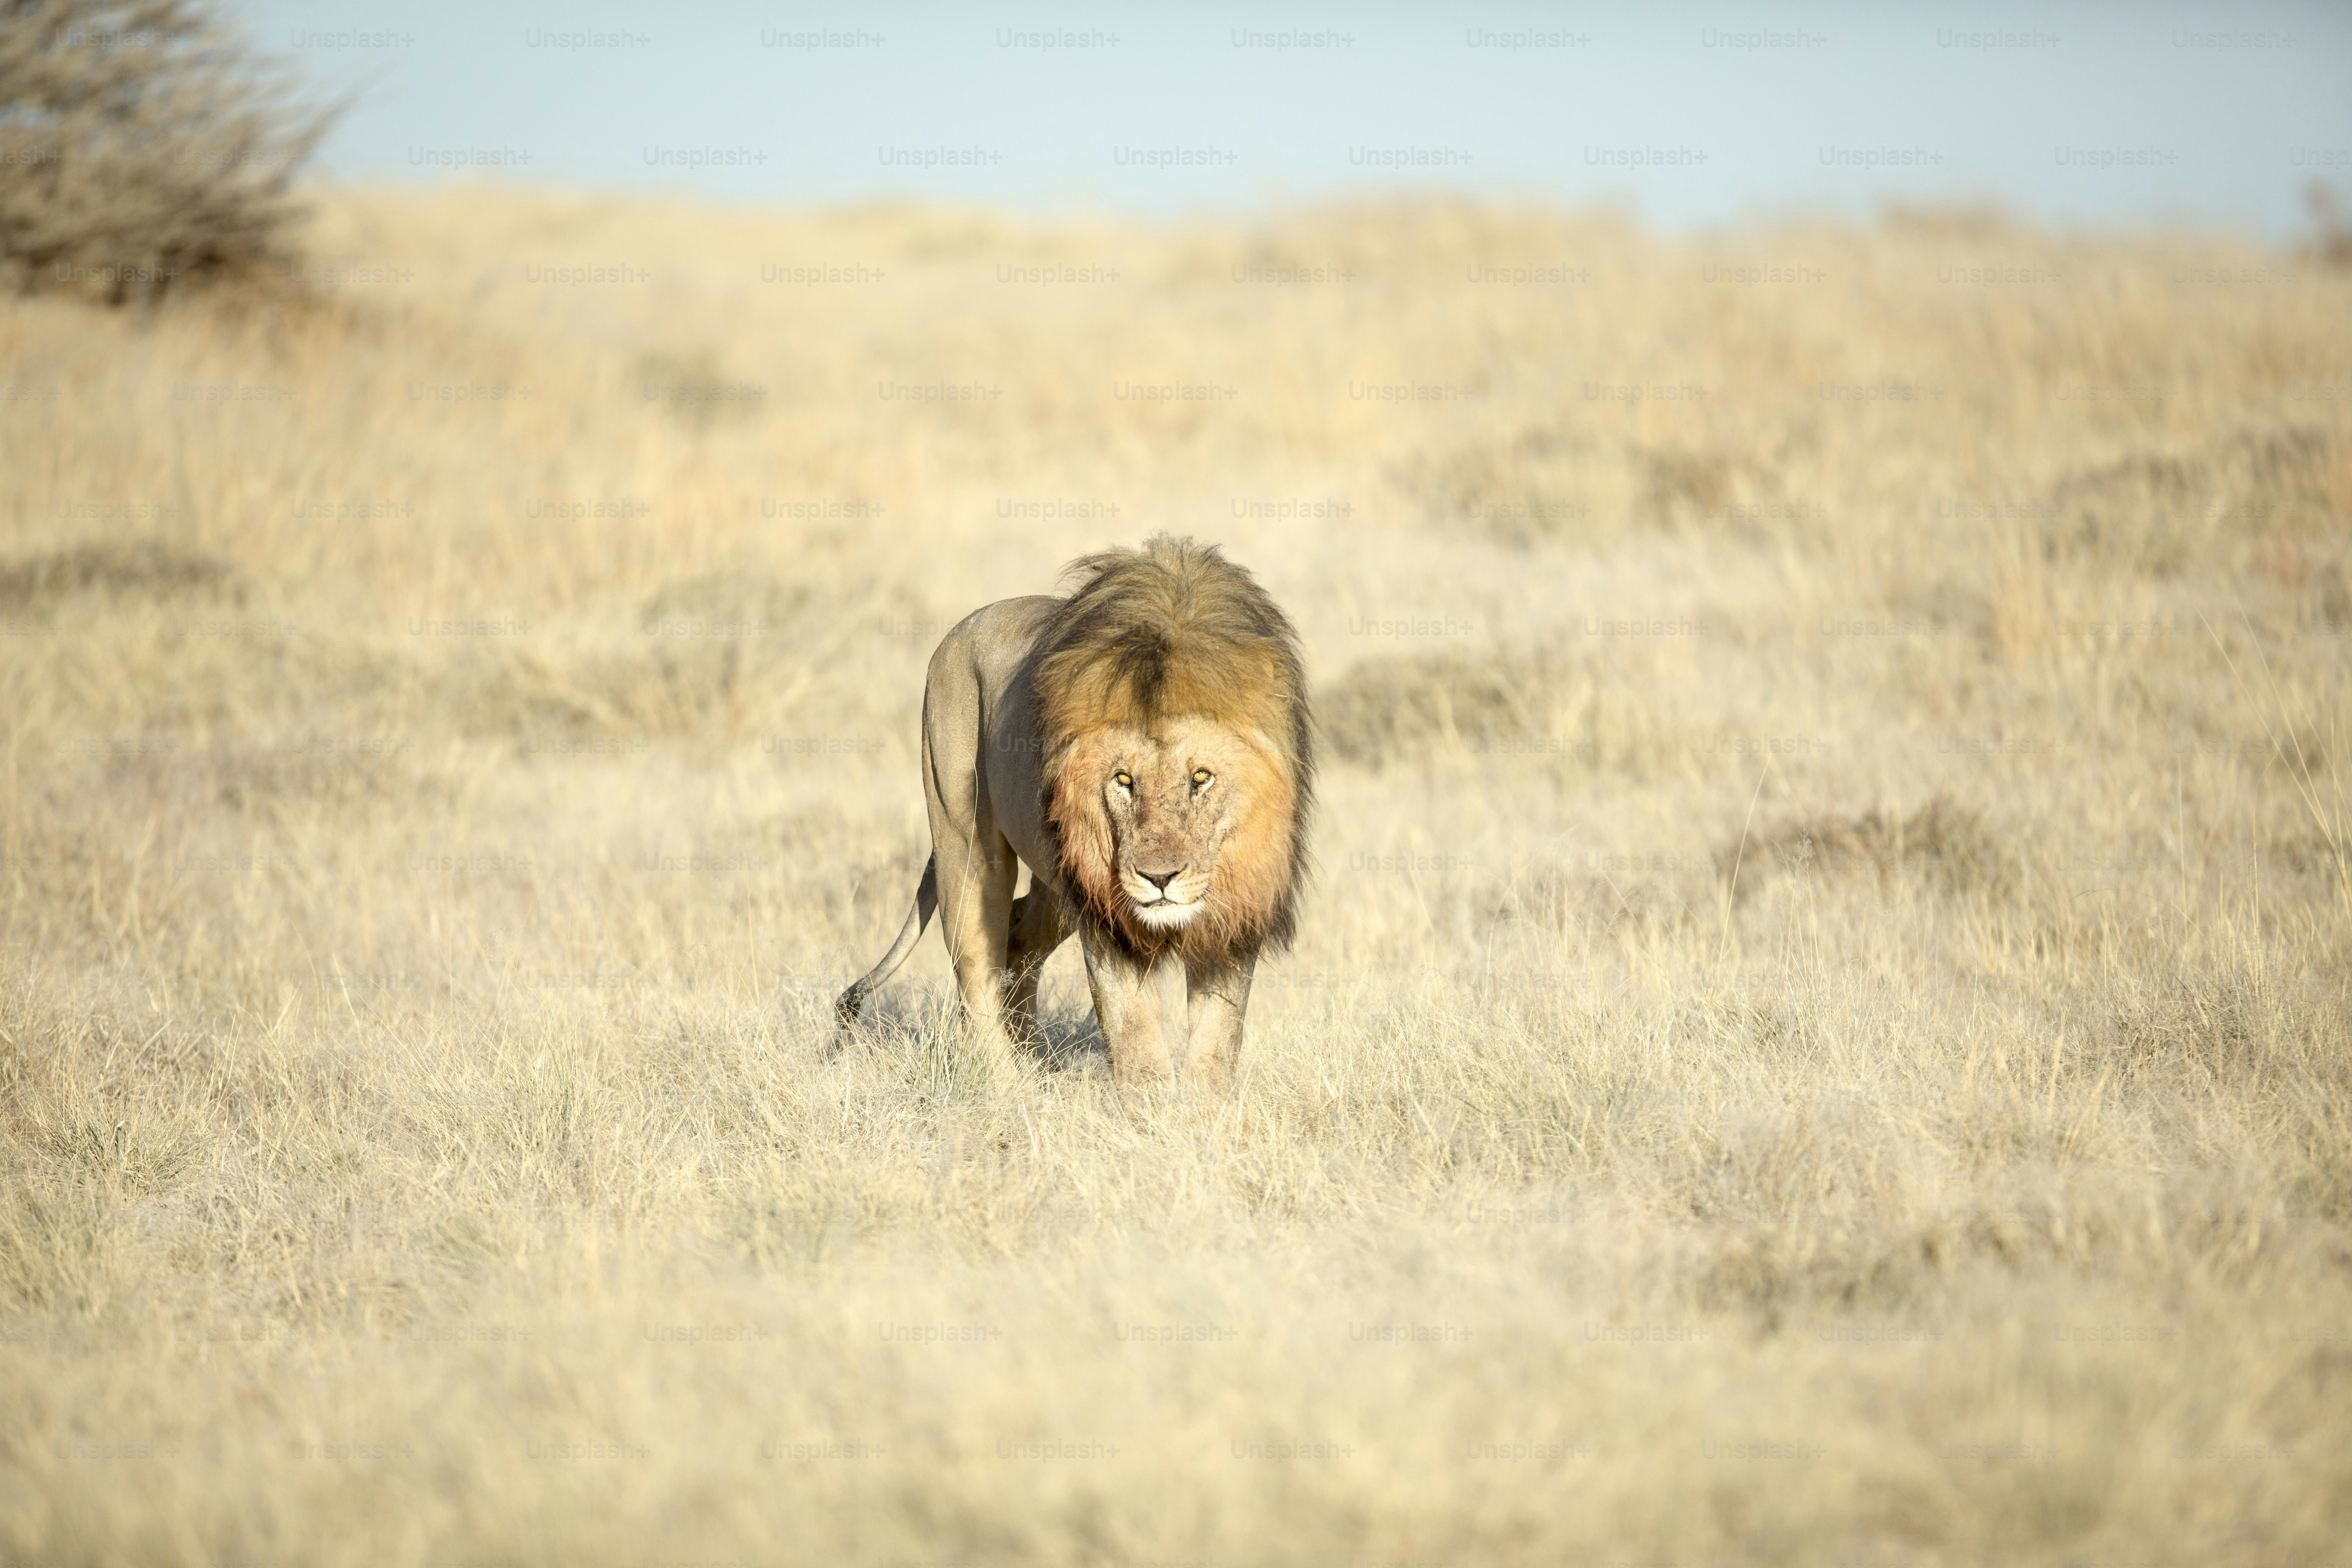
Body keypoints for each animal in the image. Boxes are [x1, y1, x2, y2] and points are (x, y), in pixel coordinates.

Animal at [835, 534, 1313, 1090]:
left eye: (1201, 778)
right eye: (1123, 780)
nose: (1160, 879)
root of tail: (961, 630)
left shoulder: (1238, 913)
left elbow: (1217, 1043)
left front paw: (1203, 1111)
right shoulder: (1109, 923)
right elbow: (1136, 1040)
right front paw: (1153, 1113)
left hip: (1060, 878)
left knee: (1019, 939)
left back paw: (1035, 1062)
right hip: (965, 841)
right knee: (977, 966)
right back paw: (1005, 1084)